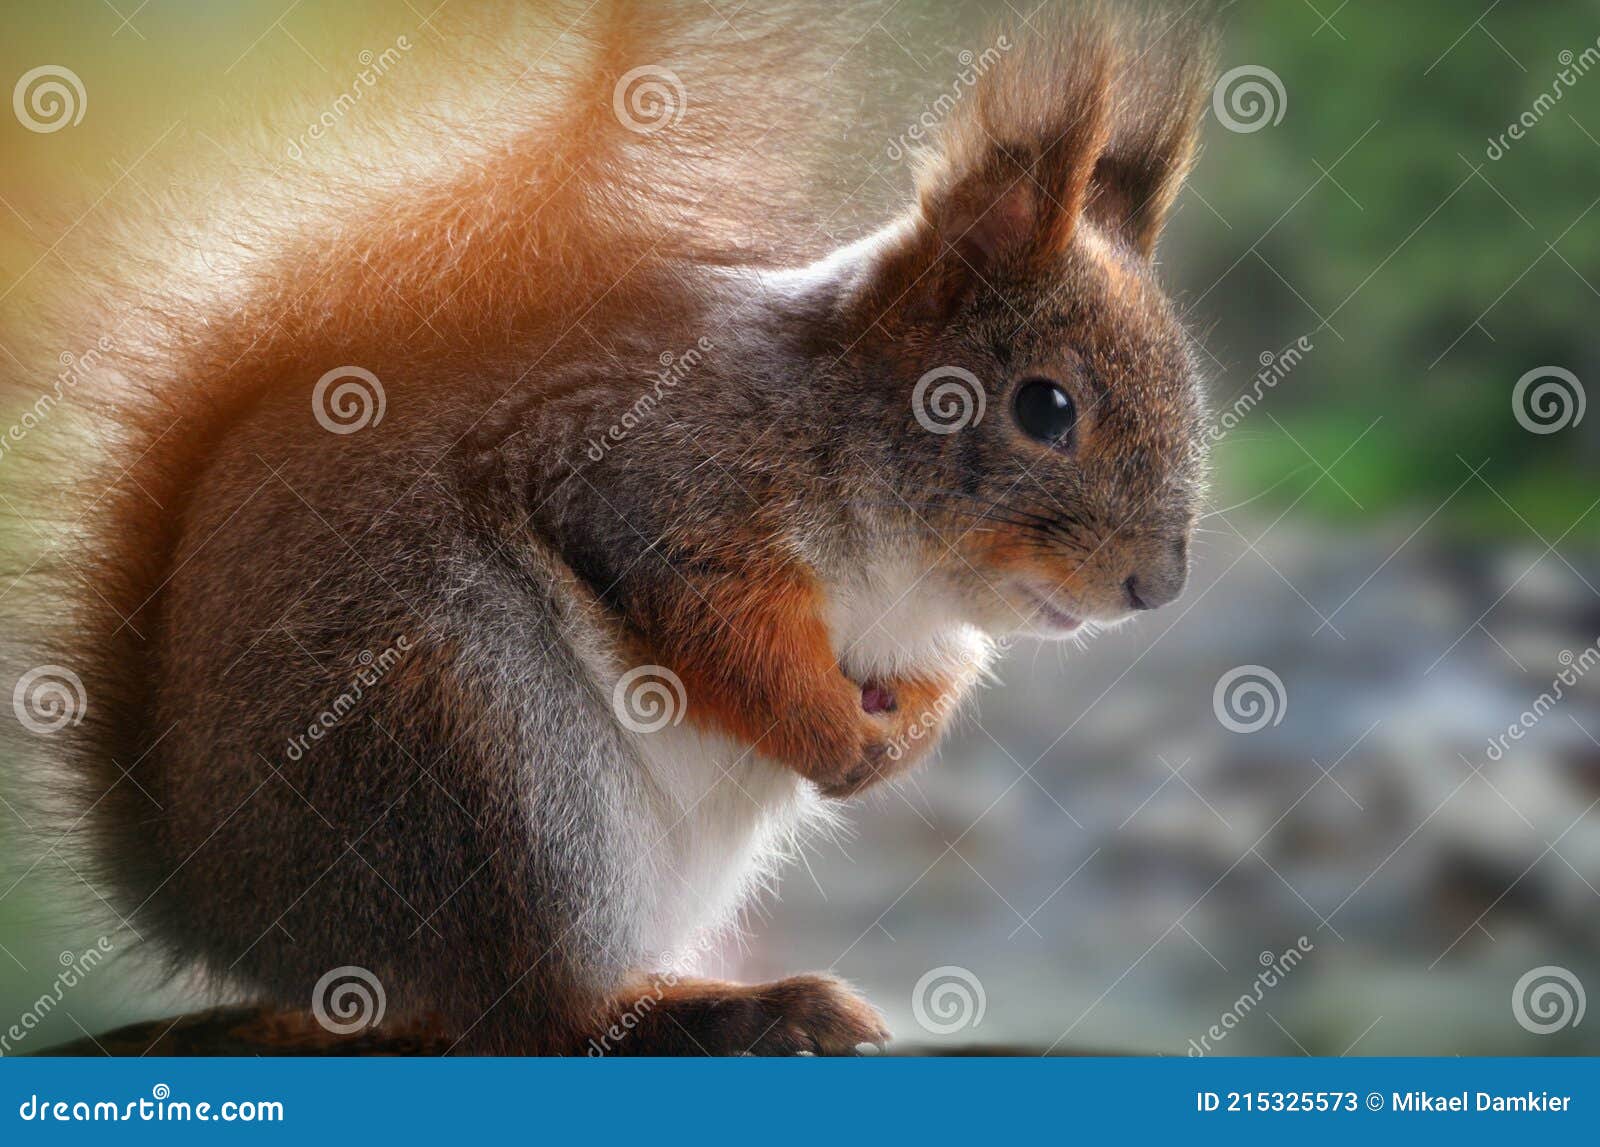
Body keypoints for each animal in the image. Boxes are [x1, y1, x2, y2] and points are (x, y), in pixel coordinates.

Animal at [3, 1, 1212, 1054]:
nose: (1157, 584)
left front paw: (898, 744)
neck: (909, 571)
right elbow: (718, 628)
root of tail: (234, 918)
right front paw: (827, 735)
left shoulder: (922, 636)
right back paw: (727, 1009)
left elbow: (930, 686)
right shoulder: (651, 481)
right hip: (483, 757)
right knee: (527, 1013)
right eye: (1044, 408)